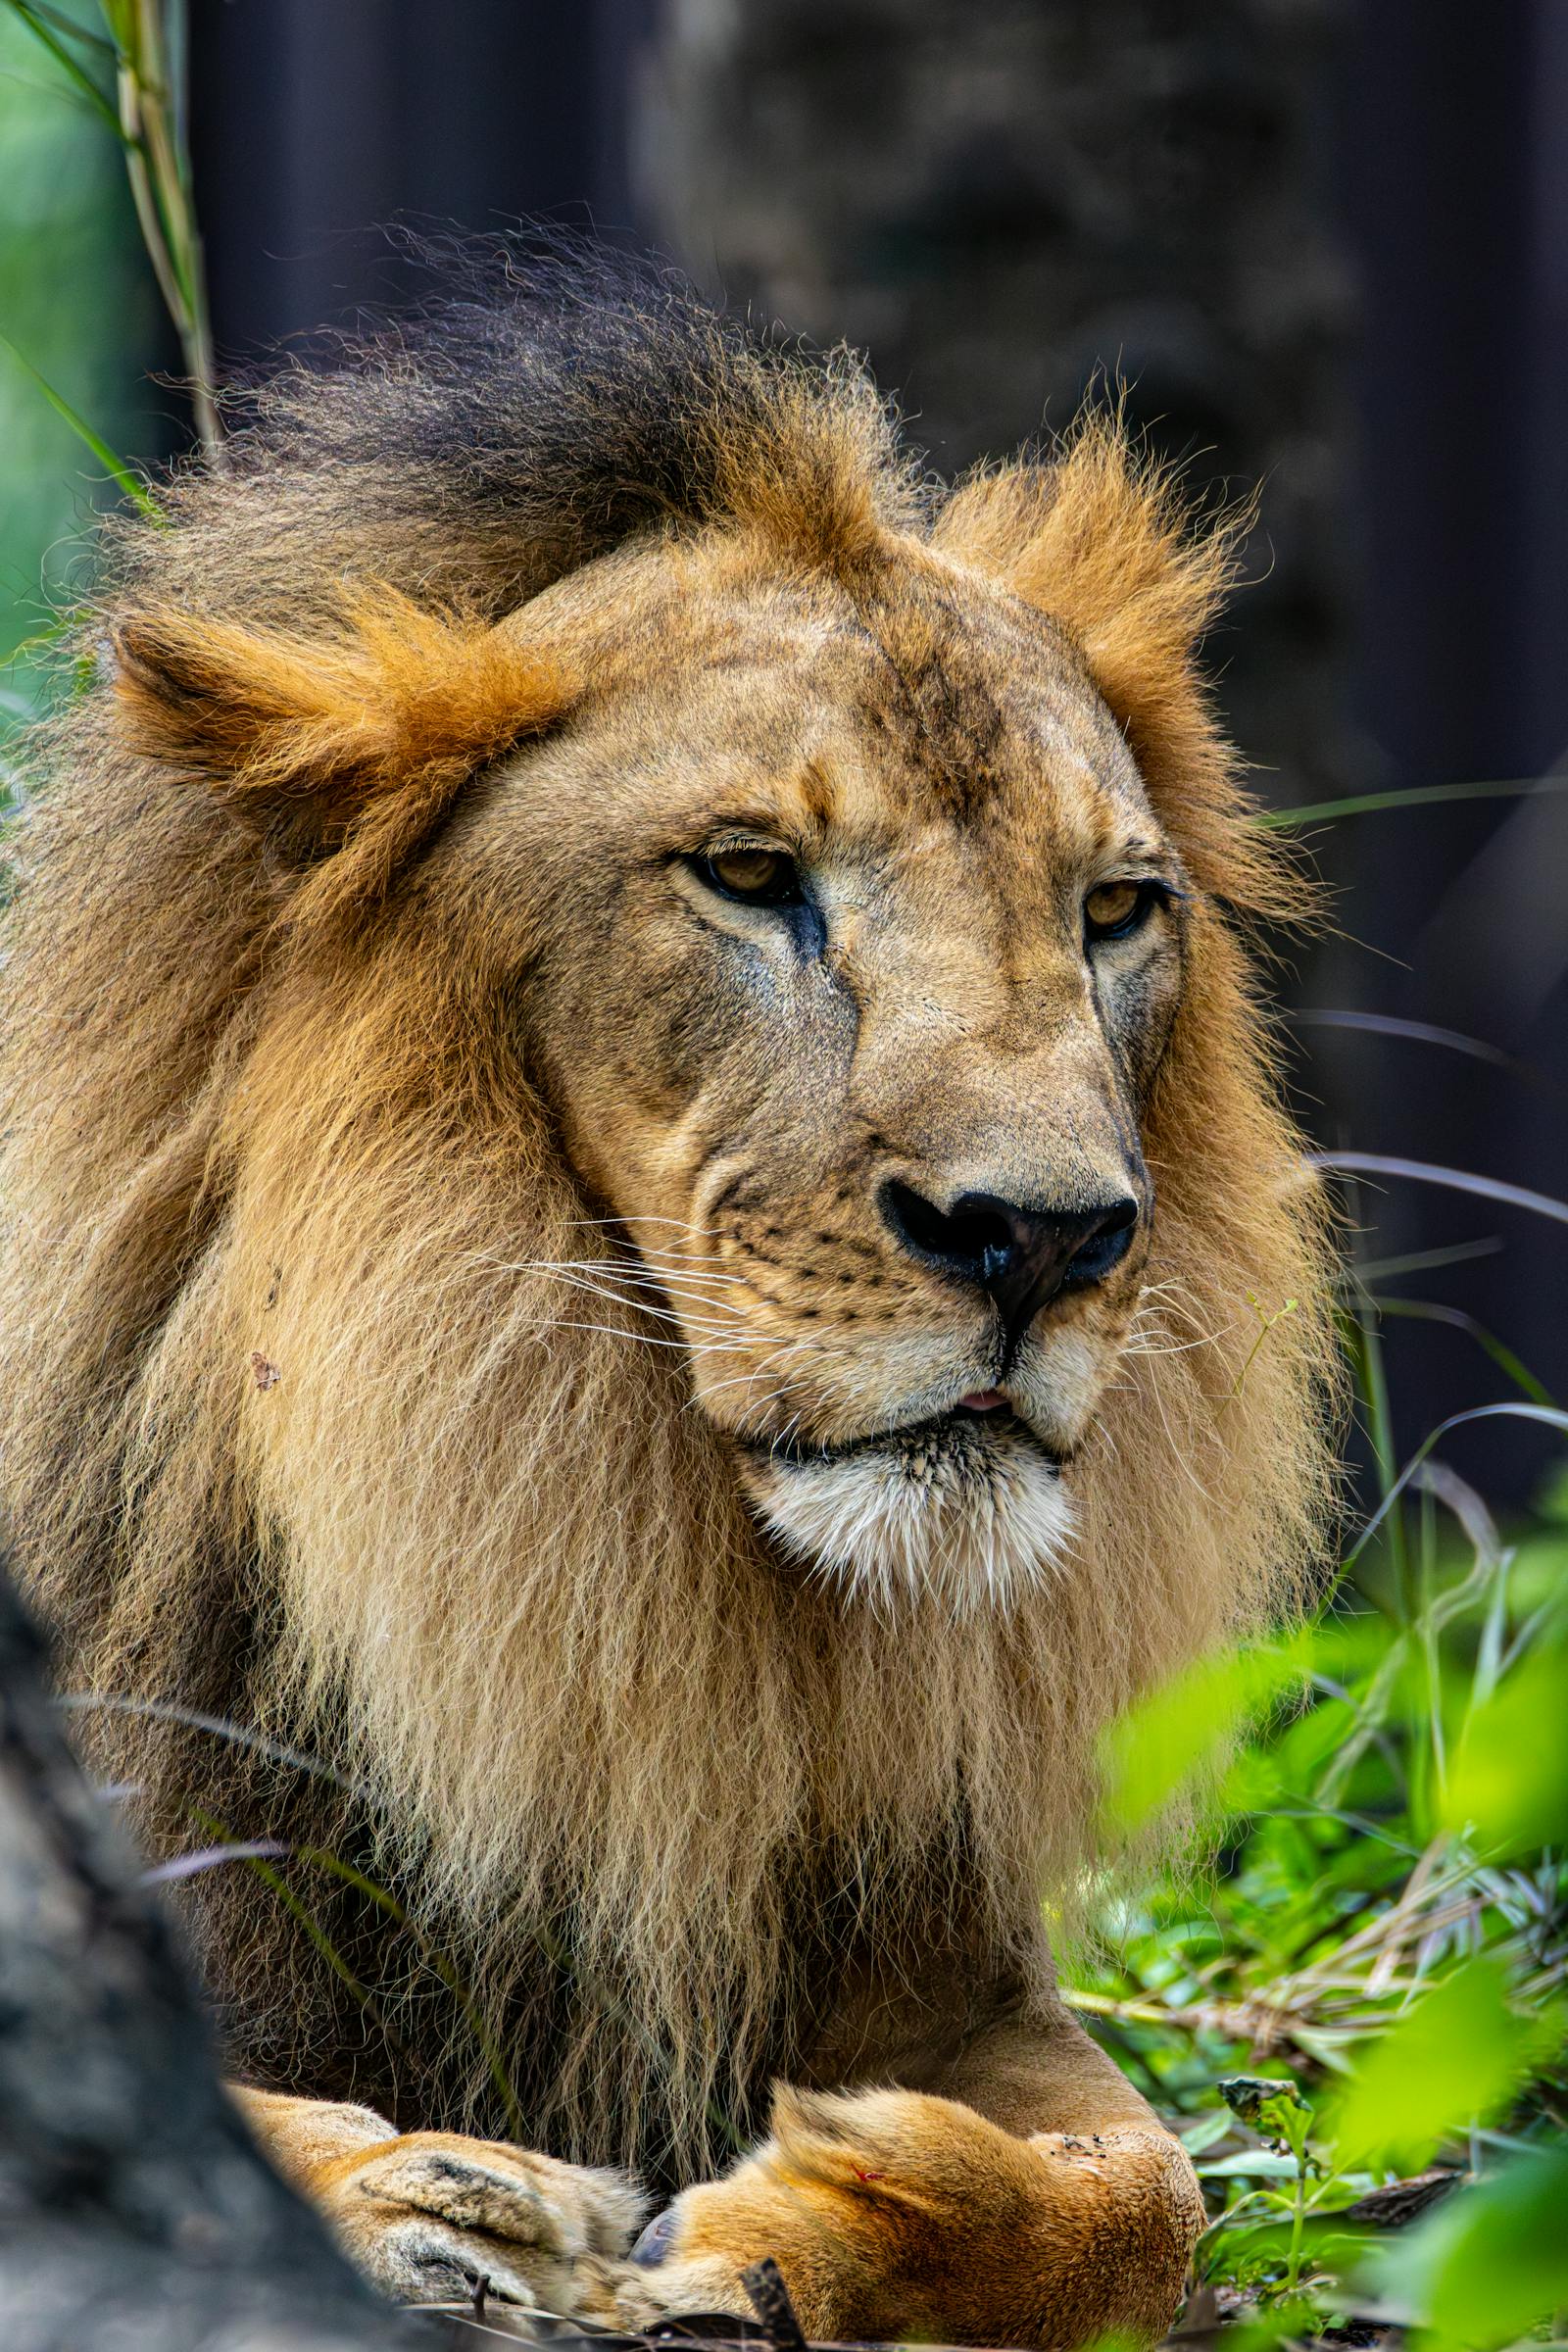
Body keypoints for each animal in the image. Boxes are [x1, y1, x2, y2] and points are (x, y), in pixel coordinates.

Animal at [0, 247, 1336, 2346]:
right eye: (748, 875)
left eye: (1116, 910)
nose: (1045, 1240)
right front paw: (431, 2197)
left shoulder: (930, 1957)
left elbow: (1156, 2195)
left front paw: (831, 2217)